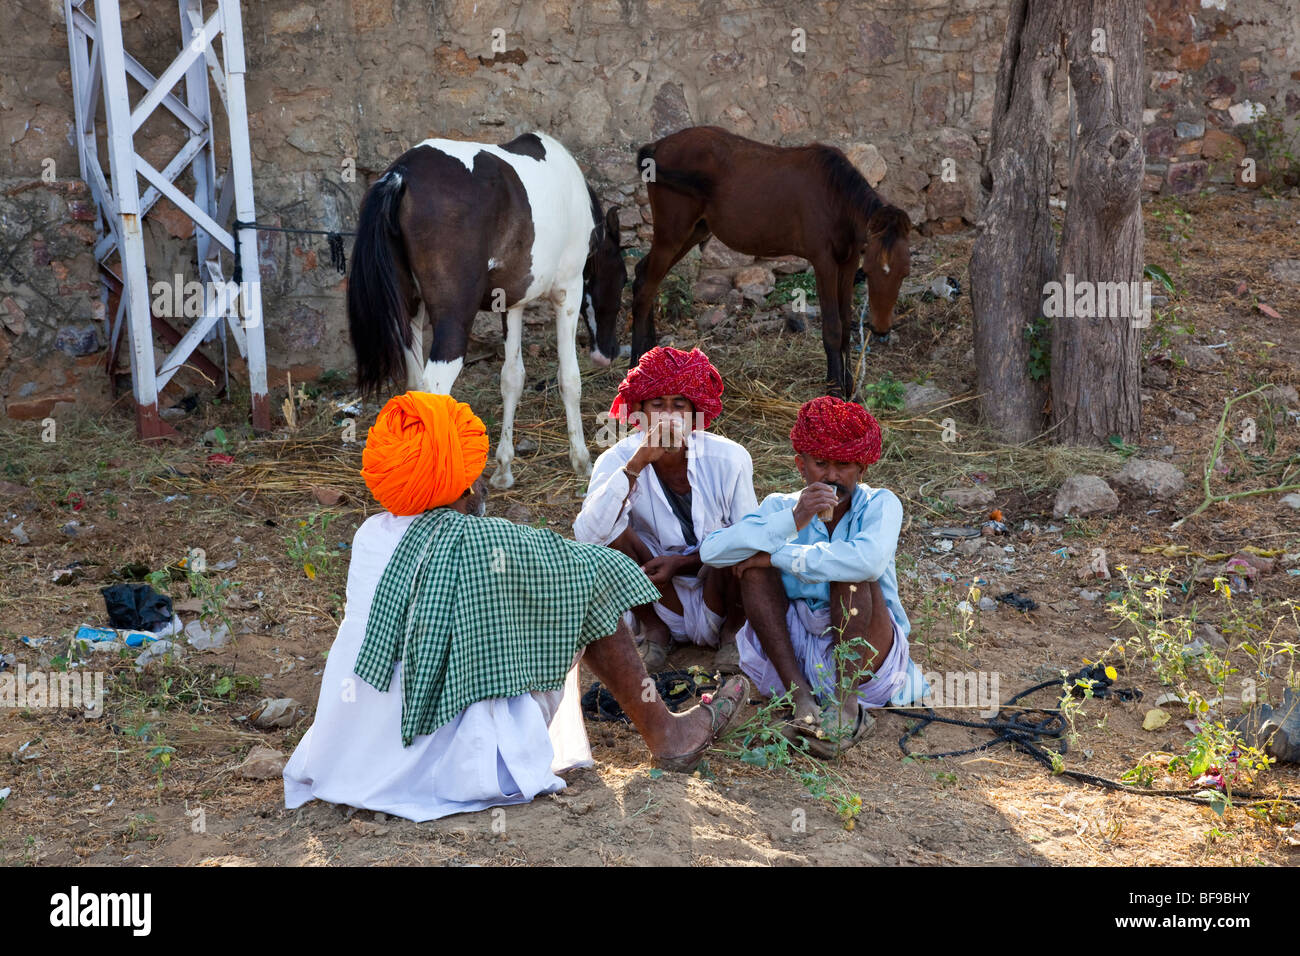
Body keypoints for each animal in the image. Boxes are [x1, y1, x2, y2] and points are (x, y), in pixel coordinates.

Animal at [347, 131, 624, 489]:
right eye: (623, 279)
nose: (609, 352)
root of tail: (400, 175)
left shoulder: (512, 304)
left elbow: (512, 379)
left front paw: (504, 468)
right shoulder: (569, 292)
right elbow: (569, 380)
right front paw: (581, 461)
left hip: (409, 314)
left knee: (415, 385)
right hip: (454, 320)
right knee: (434, 386)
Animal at [630, 126, 912, 397]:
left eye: (905, 274)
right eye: (870, 272)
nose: (881, 328)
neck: (836, 197)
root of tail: (657, 146)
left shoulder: (849, 261)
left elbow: (845, 327)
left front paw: (851, 389)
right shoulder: (824, 262)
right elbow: (833, 330)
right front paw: (834, 392)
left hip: (693, 232)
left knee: (644, 275)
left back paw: (651, 359)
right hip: (672, 235)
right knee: (645, 288)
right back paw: (635, 367)